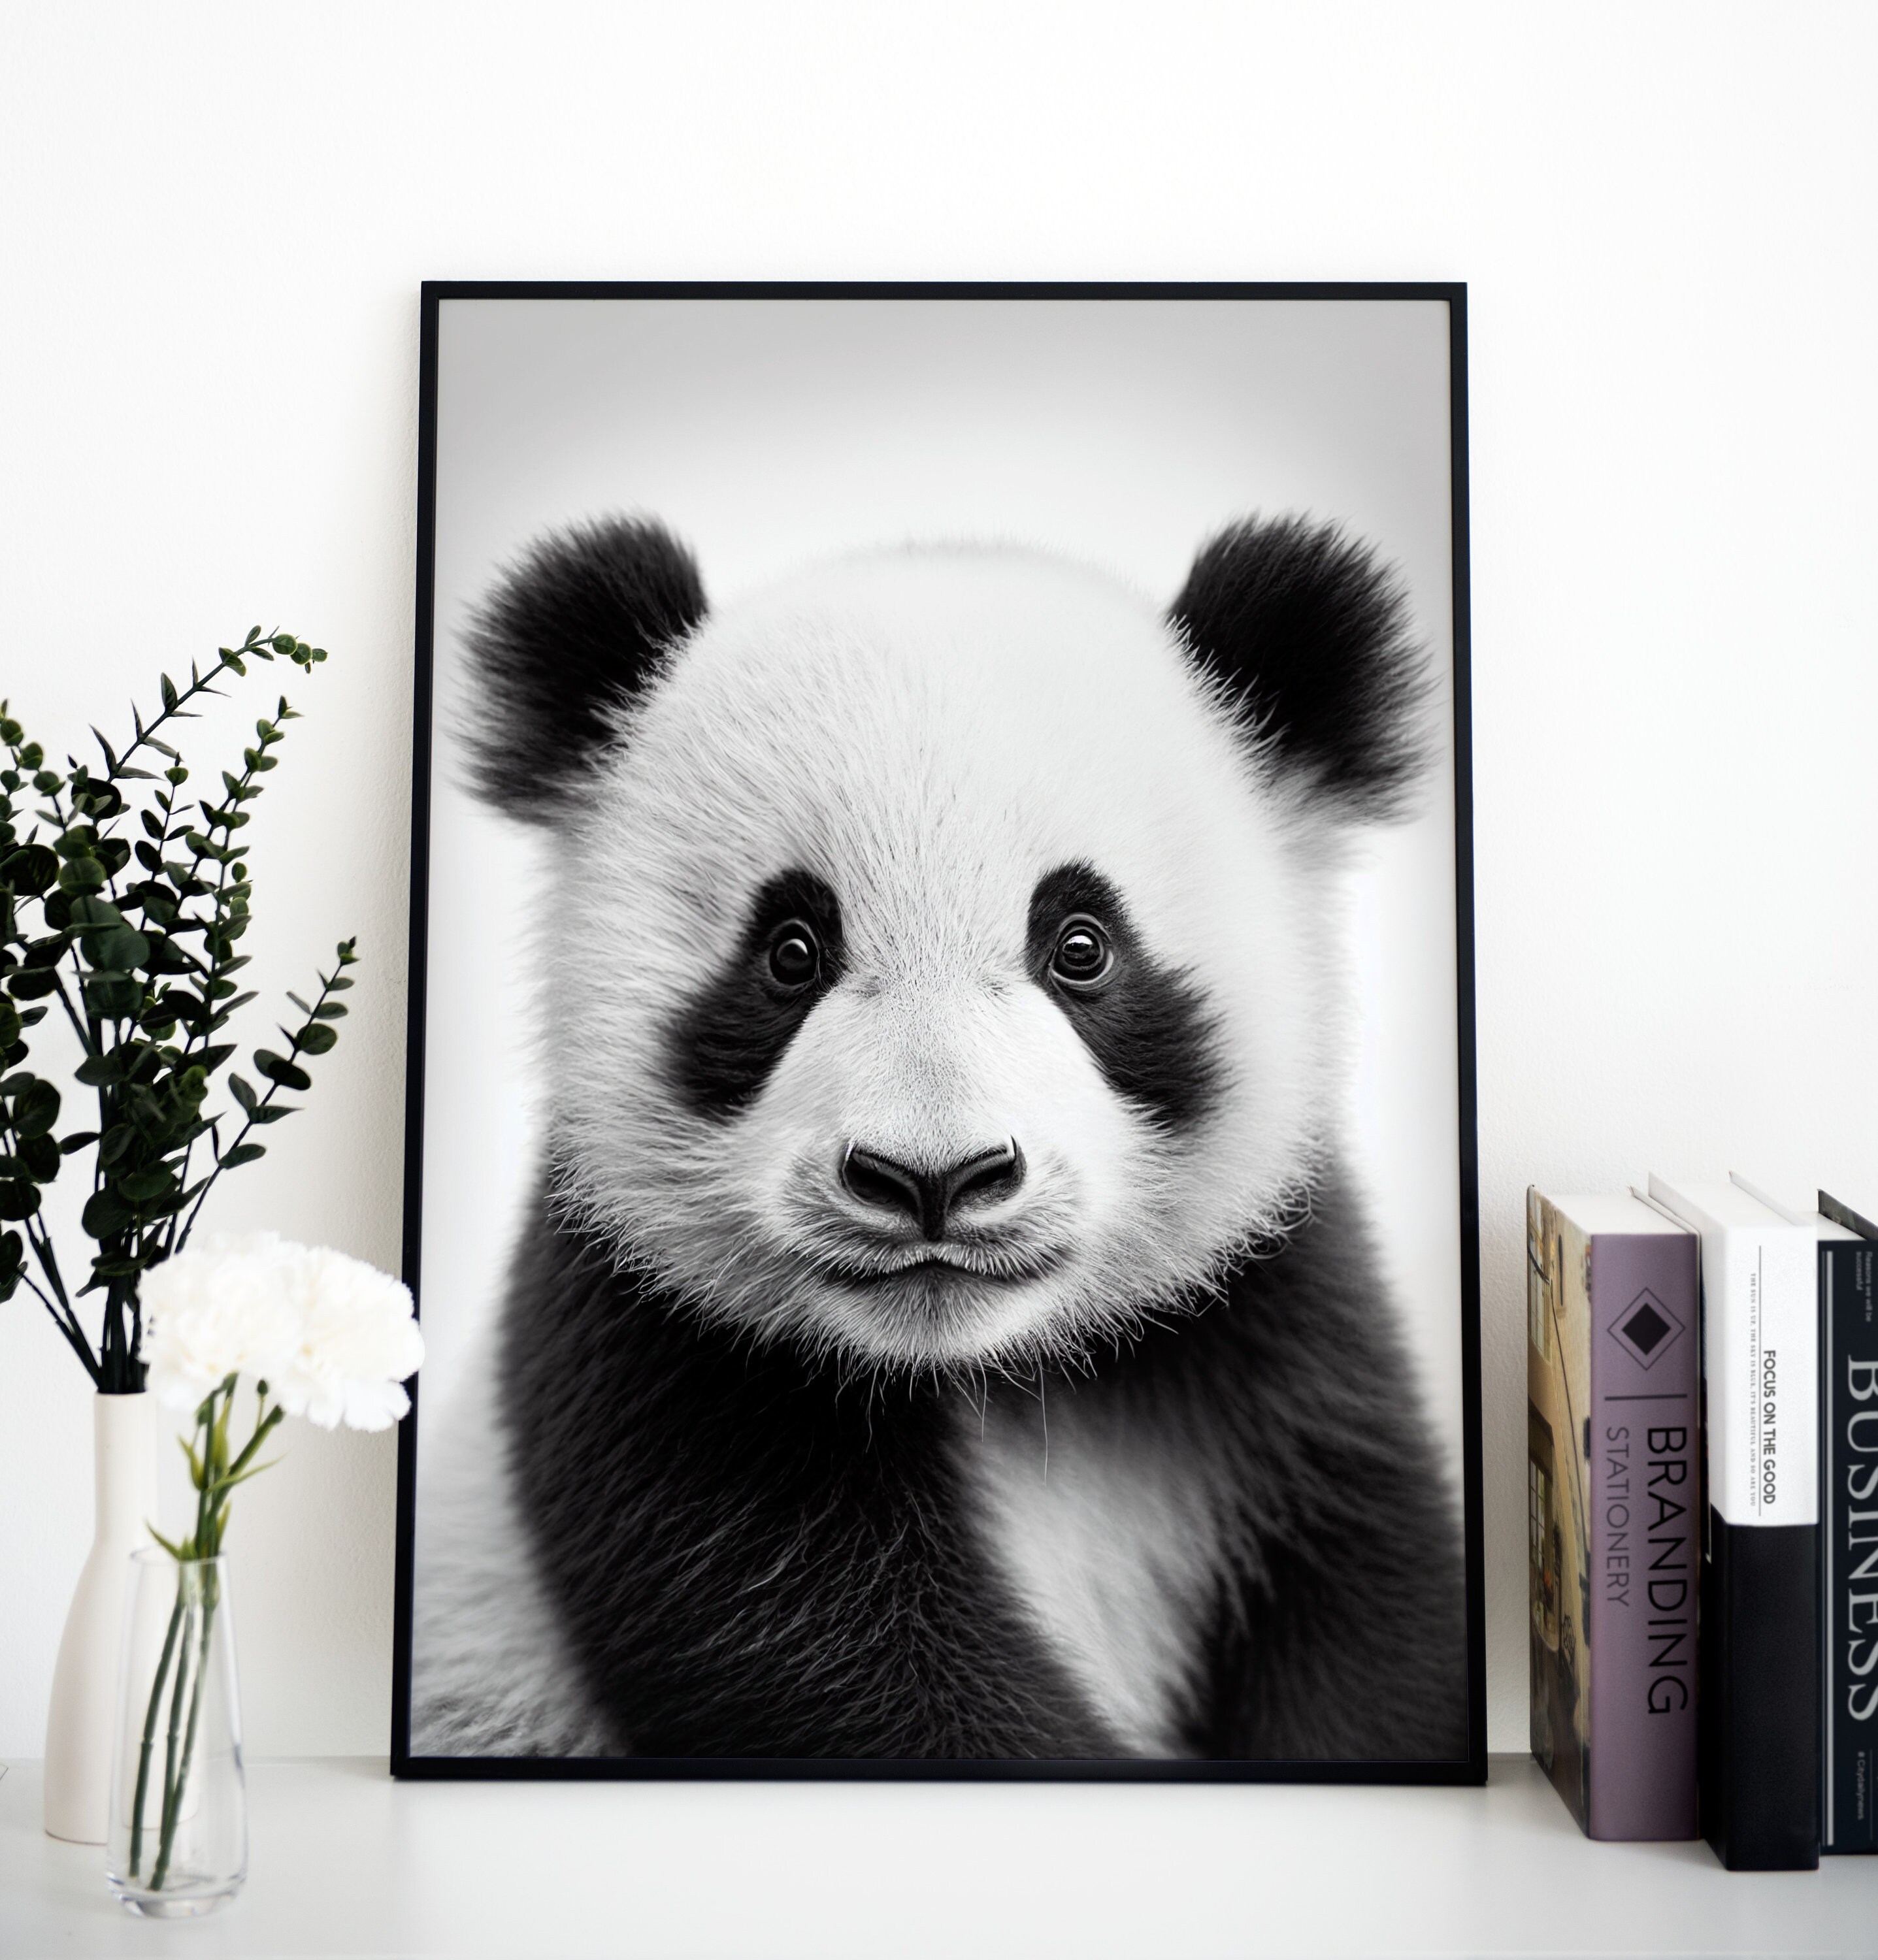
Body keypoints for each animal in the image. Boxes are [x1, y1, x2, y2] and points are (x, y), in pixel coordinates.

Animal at [409, 513, 1469, 1764]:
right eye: (789, 952)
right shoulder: (655, 1337)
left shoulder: (1271, 1326)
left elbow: (1369, 1595)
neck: (998, 1373)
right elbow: (816, 1645)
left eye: (1080, 945)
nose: (934, 1179)